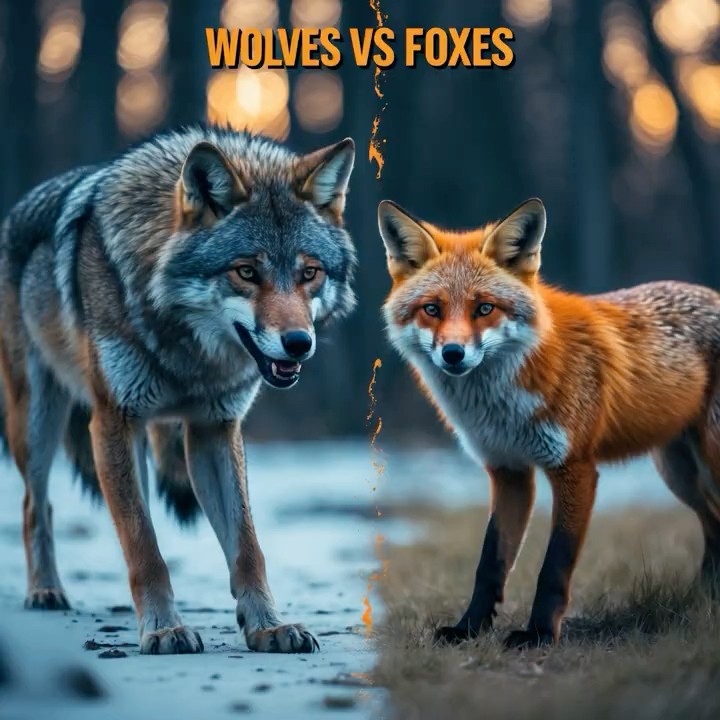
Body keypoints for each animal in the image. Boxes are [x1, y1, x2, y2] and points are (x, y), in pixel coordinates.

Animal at [0, 126, 357, 654]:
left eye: (309, 273)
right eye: (246, 272)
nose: (299, 343)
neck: (190, 356)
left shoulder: (215, 429)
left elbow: (248, 548)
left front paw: (268, 626)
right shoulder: (114, 421)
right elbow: (144, 546)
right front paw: (165, 629)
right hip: (39, 422)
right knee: (35, 505)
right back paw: (46, 591)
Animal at [378, 197, 720, 648]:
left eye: (484, 308)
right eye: (432, 309)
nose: (453, 353)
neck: (501, 408)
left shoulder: (574, 468)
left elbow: (554, 565)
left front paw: (539, 634)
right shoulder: (508, 472)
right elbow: (490, 563)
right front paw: (468, 629)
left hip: (707, 463)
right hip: (680, 474)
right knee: (715, 527)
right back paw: (704, 601)